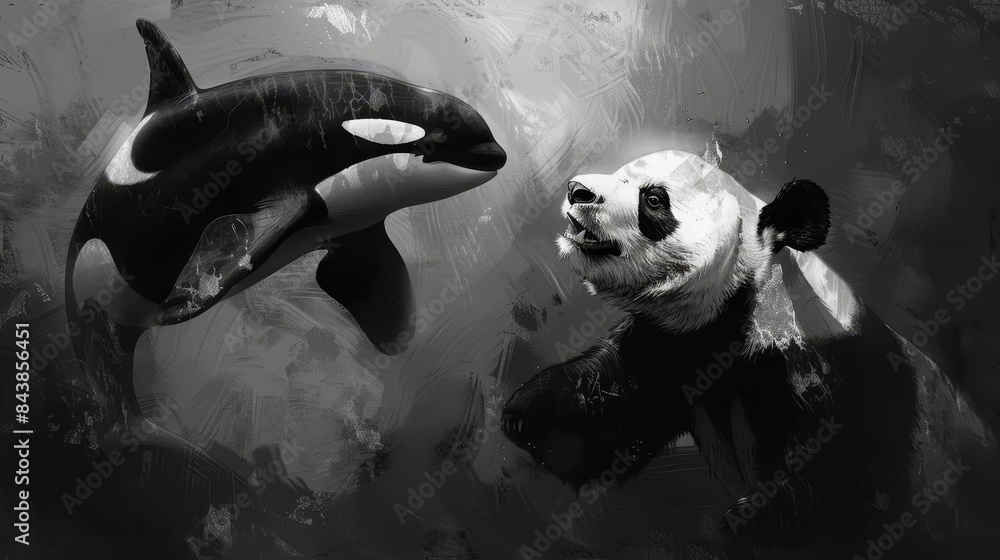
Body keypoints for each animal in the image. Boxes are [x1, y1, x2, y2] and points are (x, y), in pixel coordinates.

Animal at [501, 150, 993, 558]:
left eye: (654, 200)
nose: (577, 191)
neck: (749, 296)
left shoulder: (825, 372)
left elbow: (838, 484)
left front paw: (751, 520)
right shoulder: (677, 349)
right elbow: (615, 418)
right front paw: (534, 412)